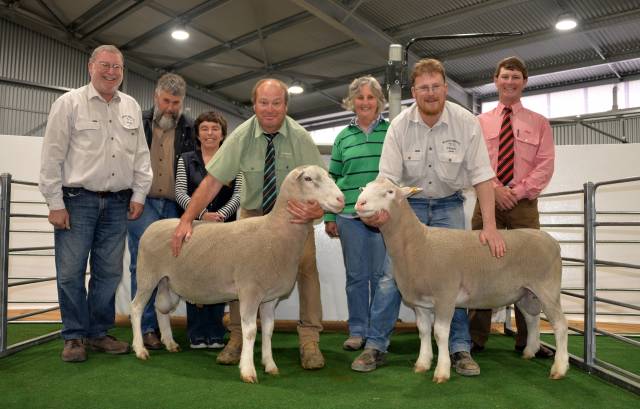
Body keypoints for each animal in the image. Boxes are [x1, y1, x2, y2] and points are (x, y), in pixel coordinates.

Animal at [130, 165, 344, 383]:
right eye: (308, 179)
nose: (341, 199)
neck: (275, 231)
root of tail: (153, 226)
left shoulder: (270, 297)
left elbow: (268, 330)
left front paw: (270, 365)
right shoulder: (250, 291)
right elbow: (250, 331)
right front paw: (248, 370)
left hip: (168, 282)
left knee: (160, 308)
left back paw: (170, 343)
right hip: (147, 275)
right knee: (136, 308)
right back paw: (140, 349)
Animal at [354, 177, 569, 383]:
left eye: (390, 192)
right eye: (363, 189)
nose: (360, 203)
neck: (418, 243)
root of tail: (552, 241)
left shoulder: (445, 296)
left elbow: (440, 333)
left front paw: (442, 371)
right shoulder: (420, 302)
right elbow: (423, 331)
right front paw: (422, 363)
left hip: (547, 288)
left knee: (560, 324)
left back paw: (559, 368)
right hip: (526, 293)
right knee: (532, 319)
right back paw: (529, 352)